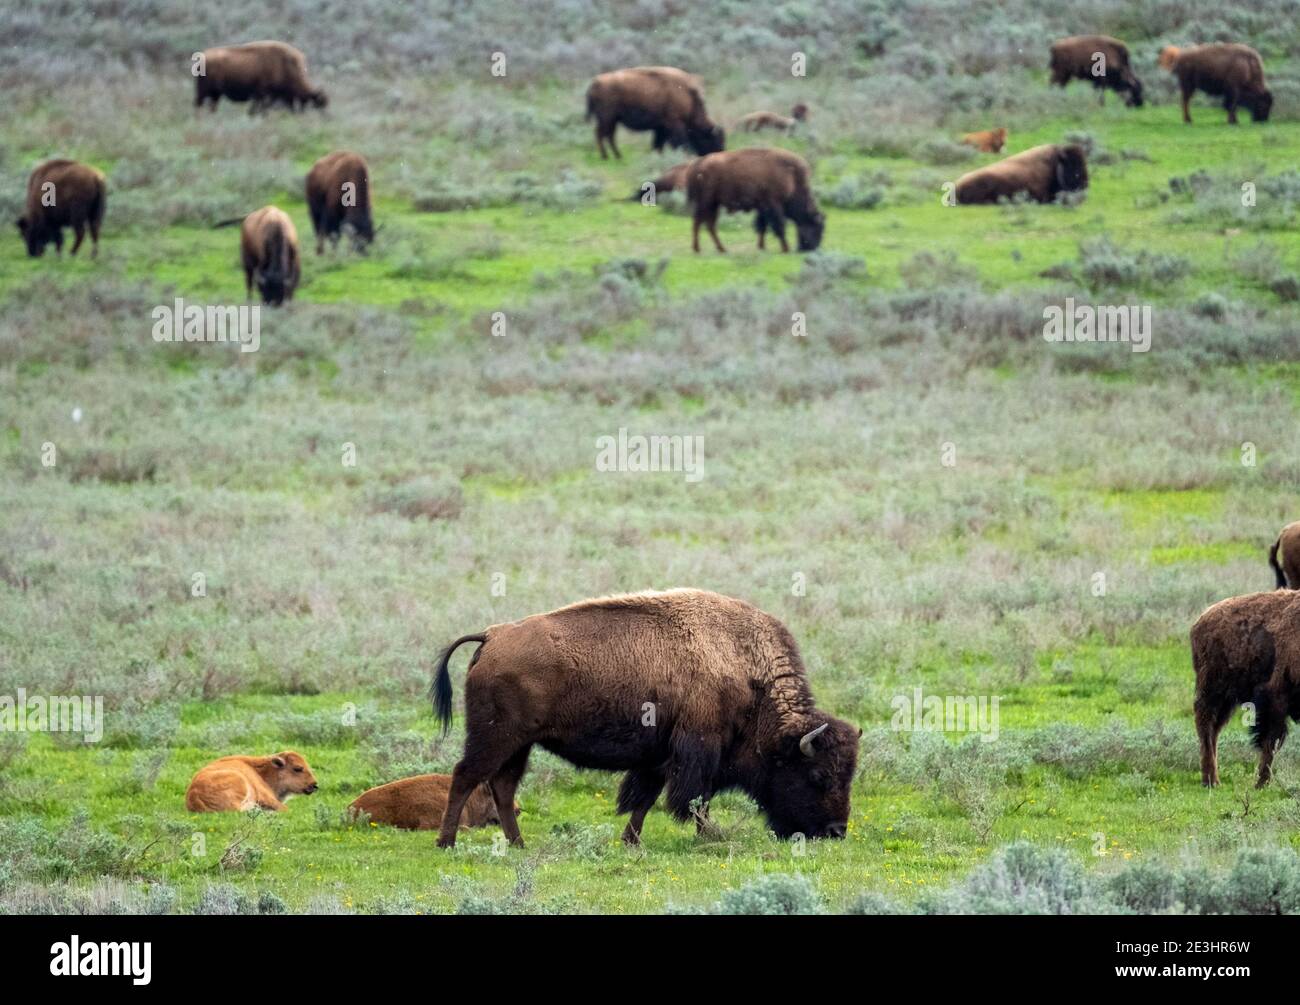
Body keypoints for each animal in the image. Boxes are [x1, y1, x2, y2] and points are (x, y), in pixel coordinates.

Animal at [195, 41, 327, 113]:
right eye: (318, 104)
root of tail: (203, 56)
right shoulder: (263, 94)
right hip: (203, 92)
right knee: (198, 105)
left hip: (215, 94)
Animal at [431, 589, 860, 848]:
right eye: (817, 776)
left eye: (849, 775)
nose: (836, 831)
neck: (745, 668)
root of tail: (492, 636)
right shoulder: (698, 750)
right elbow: (695, 798)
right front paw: (709, 836)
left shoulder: (659, 756)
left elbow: (645, 798)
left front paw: (630, 841)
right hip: (496, 738)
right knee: (466, 776)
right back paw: (447, 842)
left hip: (519, 745)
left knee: (502, 786)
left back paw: (518, 844)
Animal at [585, 66, 725, 160]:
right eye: (712, 140)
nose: (718, 154)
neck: (690, 99)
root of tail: (595, 83)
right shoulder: (675, 125)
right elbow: (677, 143)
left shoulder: (661, 128)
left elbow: (658, 144)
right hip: (607, 118)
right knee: (601, 134)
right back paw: (605, 156)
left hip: (613, 120)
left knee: (609, 136)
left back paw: (618, 156)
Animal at [685, 147, 825, 253]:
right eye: (817, 228)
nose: (811, 248)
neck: (792, 177)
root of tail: (698, 163)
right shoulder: (774, 205)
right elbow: (779, 226)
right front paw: (785, 248)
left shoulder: (763, 207)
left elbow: (762, 227)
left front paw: (761, 247)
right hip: (706, 203)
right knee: (698, 223)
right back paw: (698, 249)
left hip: (714, 204)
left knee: (709, 225)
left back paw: (722, 249)